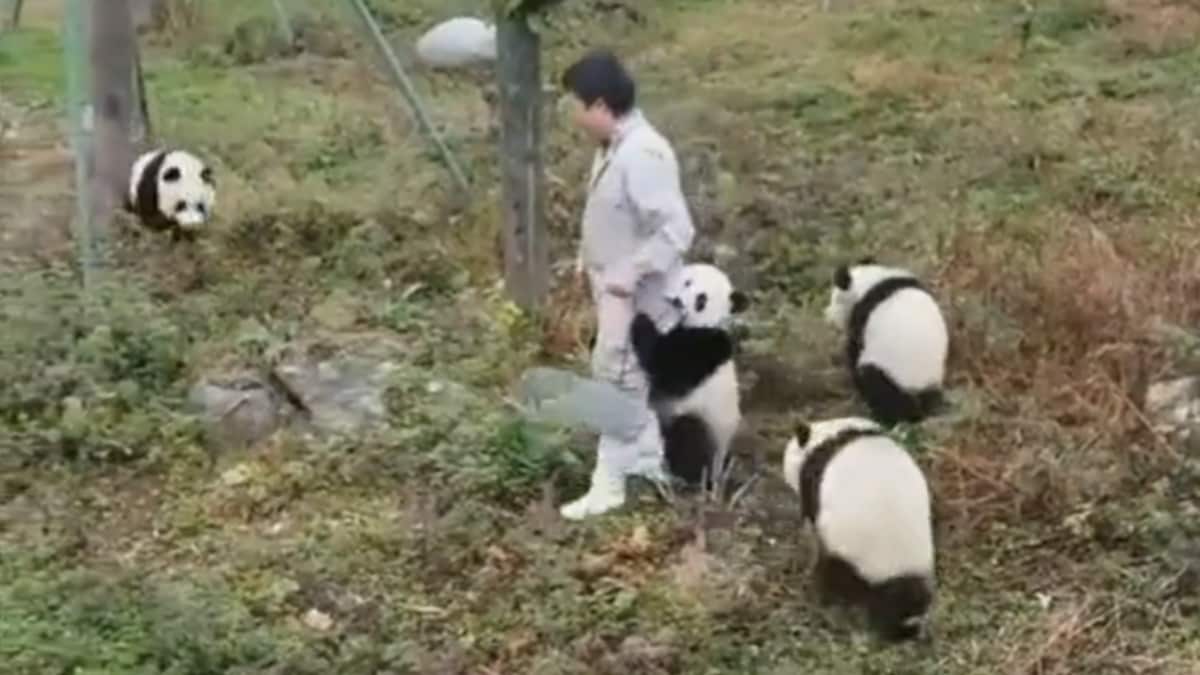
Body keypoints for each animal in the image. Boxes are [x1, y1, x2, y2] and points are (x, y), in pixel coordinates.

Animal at [629, 263, 748, 488]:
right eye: (687, 282)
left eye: (701, 300)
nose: (678, 302)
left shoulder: (705, 347)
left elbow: (666, 369)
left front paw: (641, 320)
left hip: (708, 430)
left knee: (689, 434)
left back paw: (682, 477)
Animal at [824, 257, 948, 428]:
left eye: (834, 300)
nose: (827, 316)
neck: (872, 280)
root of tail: (916, 388)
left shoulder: (862, 314)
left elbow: (854, 349)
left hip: (888, 372)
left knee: (880, 389)